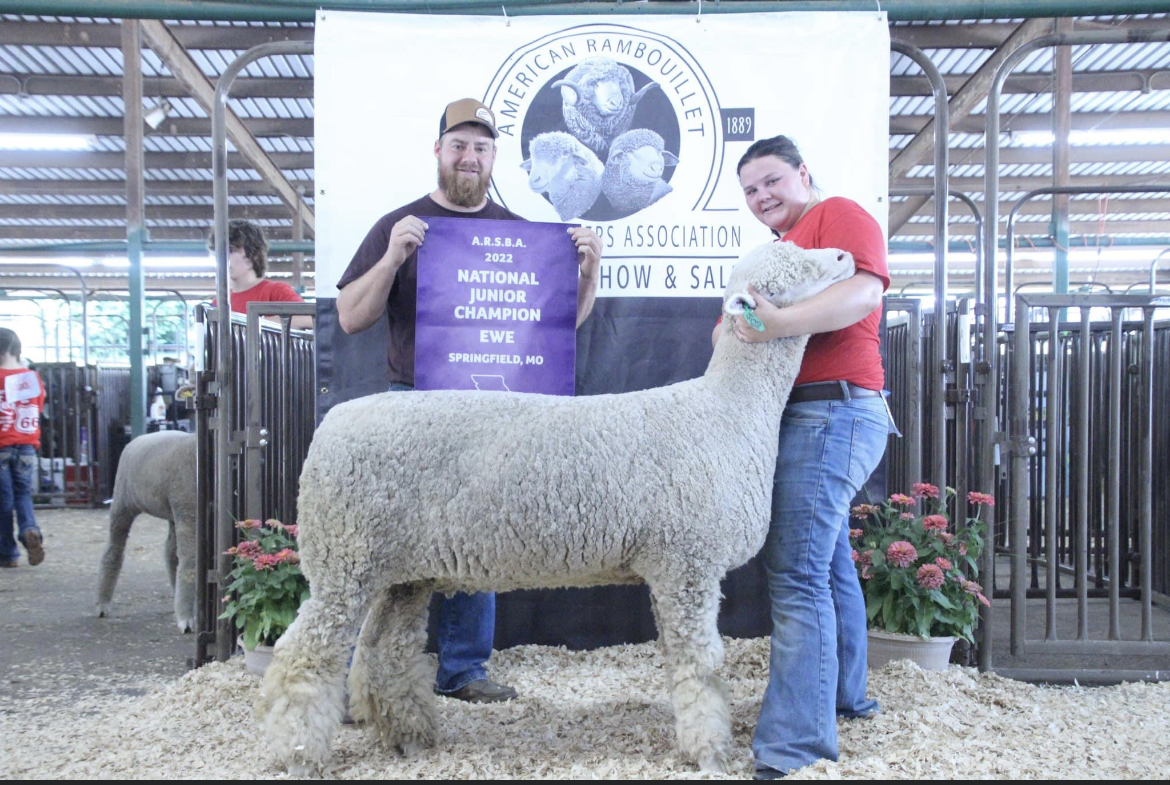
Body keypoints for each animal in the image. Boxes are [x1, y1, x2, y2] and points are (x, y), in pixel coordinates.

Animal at [96, 430, 197, 633]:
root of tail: (138, 438)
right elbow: (189, 562)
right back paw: (102, 605)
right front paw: (186, 620)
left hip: (172, 512)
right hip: (122, 504)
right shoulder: (188, 512)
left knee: (170, 553)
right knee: (113, 549)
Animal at [255, 240, 856, 776]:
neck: (729, 411)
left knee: (383, 652)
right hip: (343, 559)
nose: (848, 256)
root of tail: (331, 423)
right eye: (797, 270)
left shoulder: (667, 568)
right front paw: (710, 752)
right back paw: (298, 754)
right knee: (303, 654)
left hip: (399, 572)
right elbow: (701, 665)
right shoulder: (688, 563)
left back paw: (409, 736)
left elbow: (680, 661)